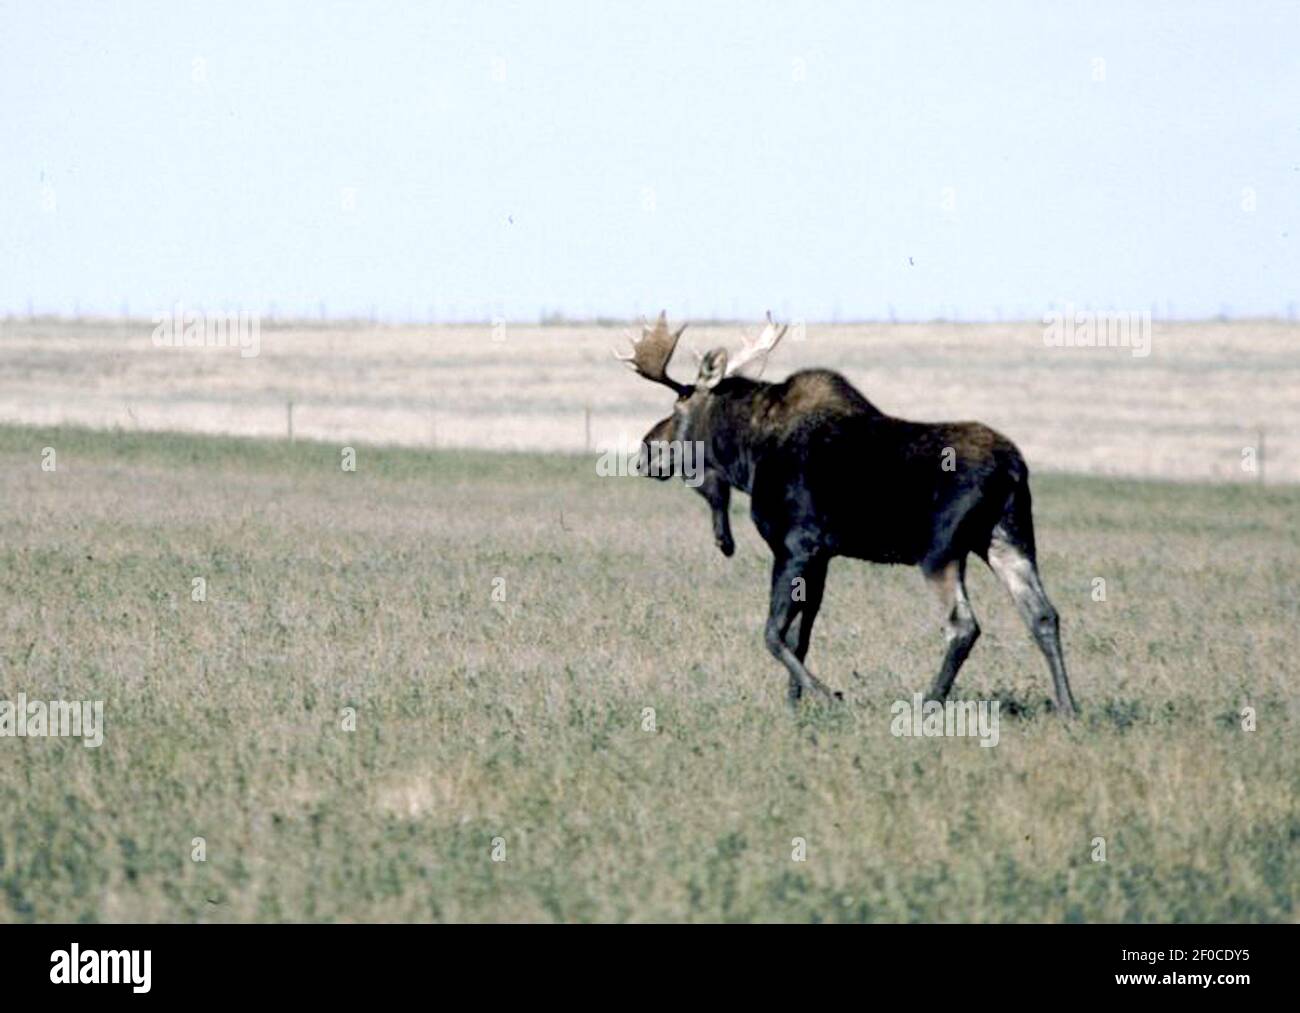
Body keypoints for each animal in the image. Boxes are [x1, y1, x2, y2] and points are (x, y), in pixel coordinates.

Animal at [615, 311, 1078, 716]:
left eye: (679, 406)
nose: (646, 450)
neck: (748, 457)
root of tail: (1013, 468)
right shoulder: (821, 557)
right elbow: (799, 637)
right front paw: (794, 706)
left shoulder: (794, 547)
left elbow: (772, 634)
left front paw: (828, 697)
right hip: (1007, 539)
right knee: (1043, 615)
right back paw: (1069, 708)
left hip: (941, 552)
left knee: (964, 626)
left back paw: (928, 705)